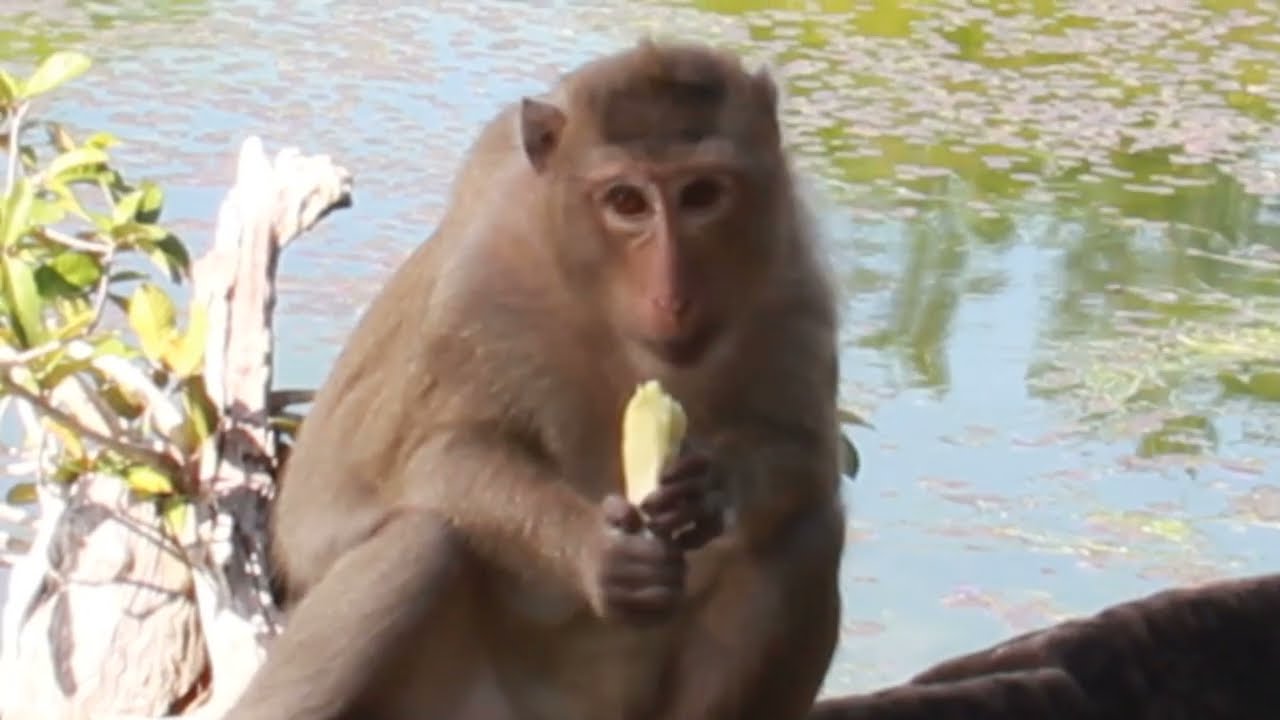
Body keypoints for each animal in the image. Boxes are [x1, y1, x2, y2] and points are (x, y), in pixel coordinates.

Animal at [223, 39, 845, 720]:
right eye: (627, 202)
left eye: (703, 194)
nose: (673, 296)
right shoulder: (485, 284)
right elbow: (444, 453)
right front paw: (596, 550)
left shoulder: (792, 278)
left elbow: (805, 453)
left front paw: (710, 490)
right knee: (420, 545)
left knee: (805, 533)